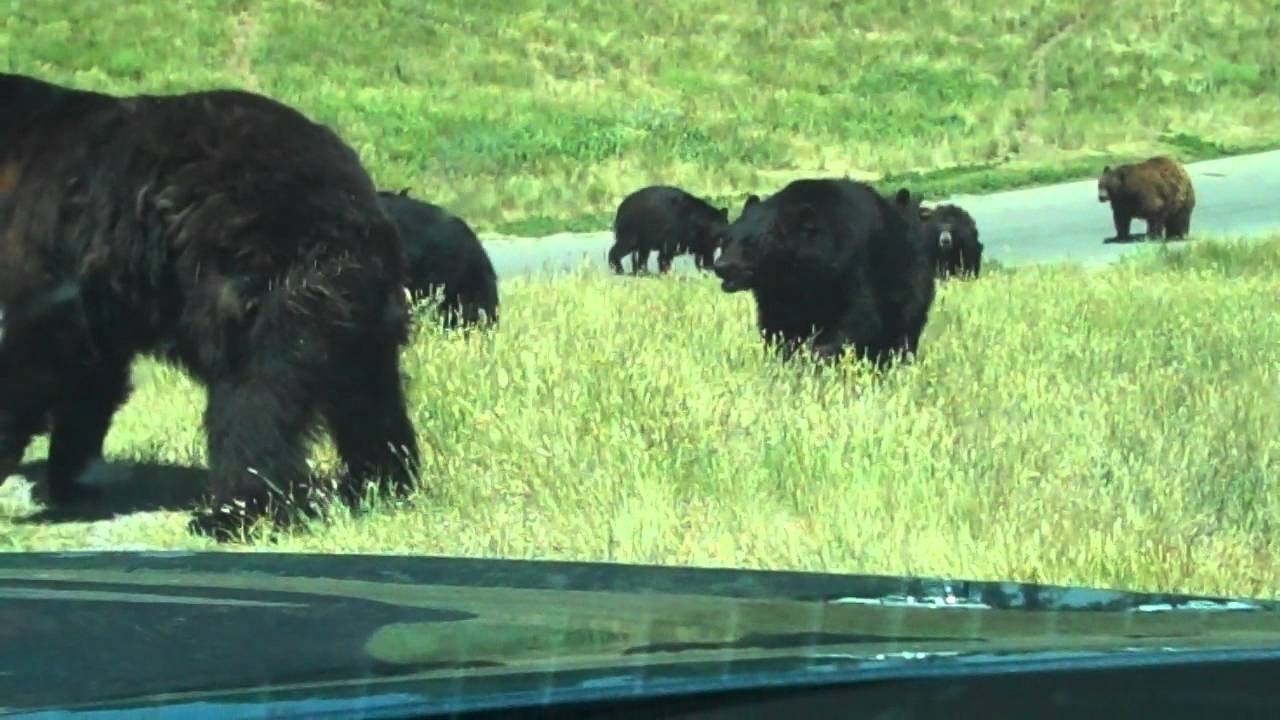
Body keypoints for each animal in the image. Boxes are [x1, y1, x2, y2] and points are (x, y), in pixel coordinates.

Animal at [0, 72, 421, 540]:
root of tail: (350, 217)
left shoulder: (47, 248)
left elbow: (41, 347)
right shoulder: (104, 292)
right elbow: (93, 372)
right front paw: (67, 478)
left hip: (258, 289)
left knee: (252, 404)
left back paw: (232, 513)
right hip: (363, 310)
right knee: (369, 395)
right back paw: (381, 482)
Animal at [712, 179, 936, 368]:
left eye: (751, 243)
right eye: (725, 239)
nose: (721, 266)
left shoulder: (854, 268)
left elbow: (857, 318)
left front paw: (820, 356)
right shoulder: (777, 295)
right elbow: (778, 328)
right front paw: (787, 359)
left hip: (909, 284)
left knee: (903, 331)